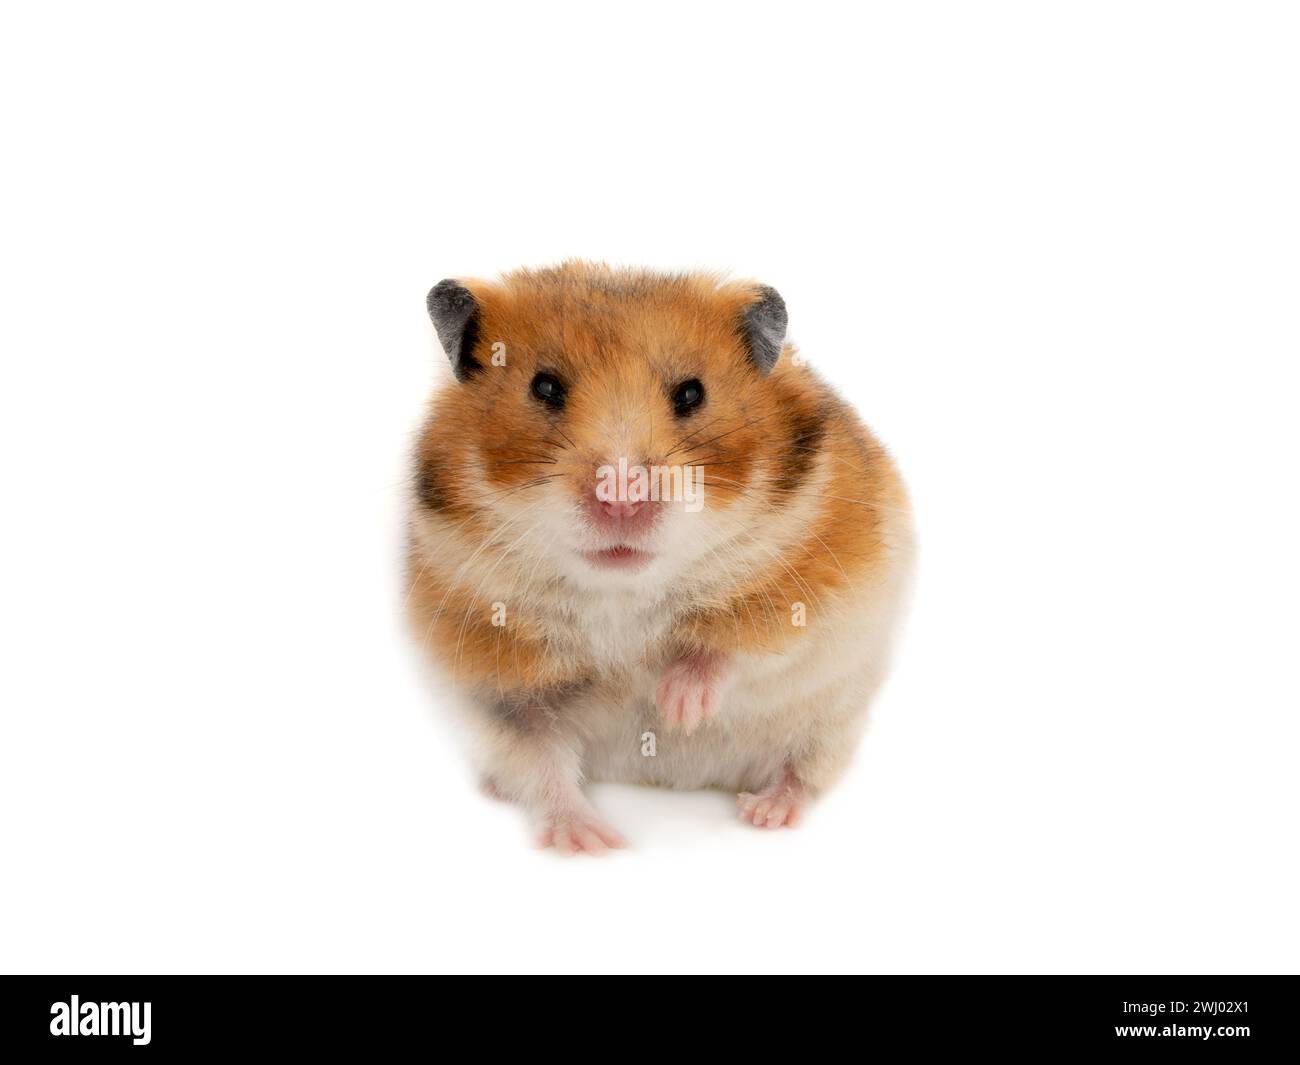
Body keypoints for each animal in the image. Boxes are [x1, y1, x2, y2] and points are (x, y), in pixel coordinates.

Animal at [406, 262, 913, 854]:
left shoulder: (816, 589)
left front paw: (678, 707)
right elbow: (539, 762)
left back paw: (766, 811)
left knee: (804, 773)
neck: (623, 592)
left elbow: (731, 645)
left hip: (833, 723)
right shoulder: (496, 682)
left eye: (691, 393)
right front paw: (592, 842)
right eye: (545, 387)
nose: (621, 497)